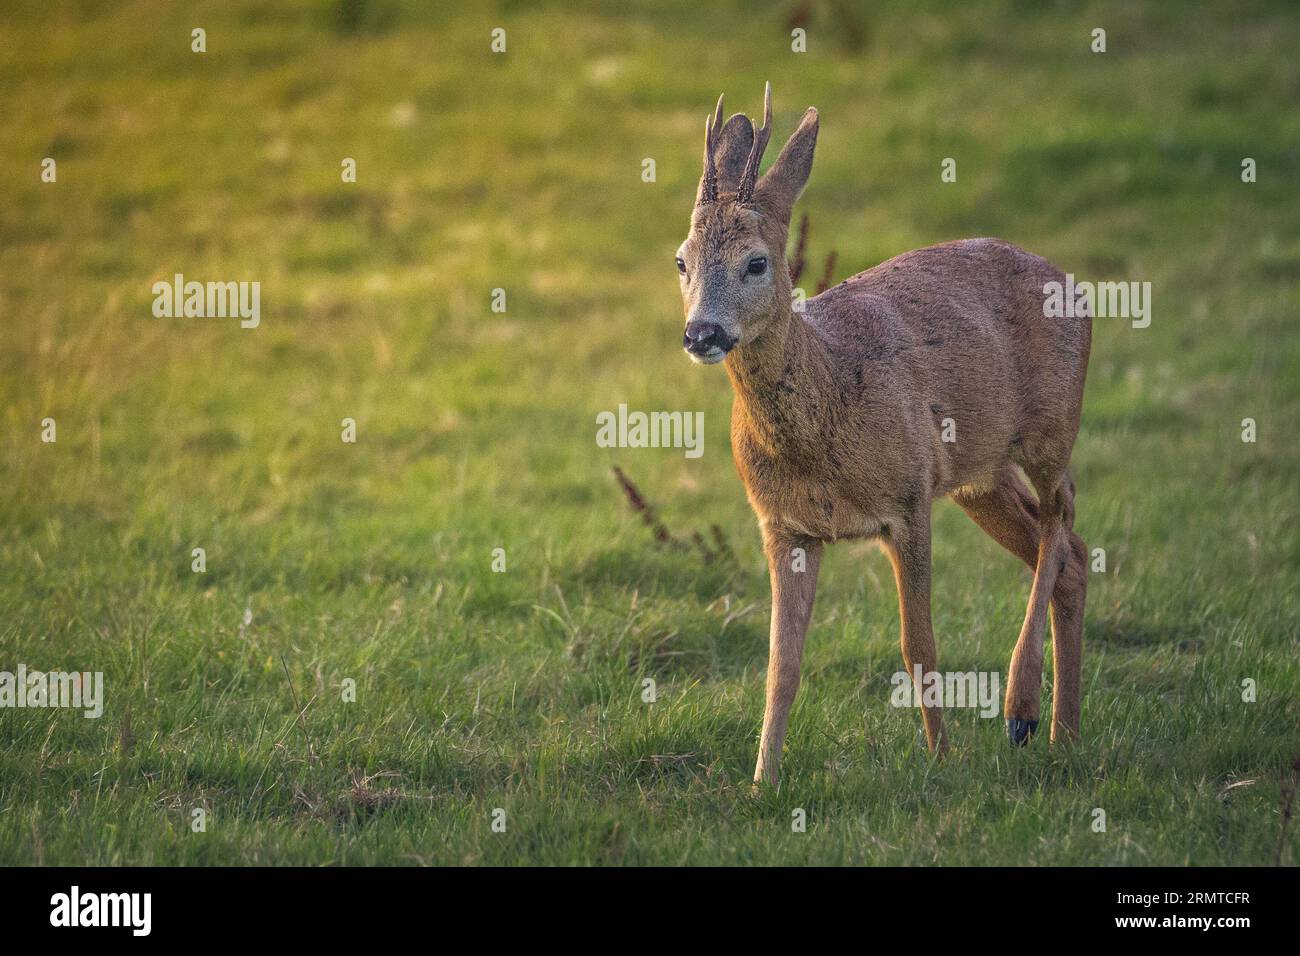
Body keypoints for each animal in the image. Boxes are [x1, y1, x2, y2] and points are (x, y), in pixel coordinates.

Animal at [674, 84, 1091, 786]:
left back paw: (1022, 710)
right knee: (1070, 556)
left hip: (1051, 427)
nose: (701, 332)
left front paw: (942, 757)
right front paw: (762, 783)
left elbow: (917, 642)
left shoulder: (907, 498)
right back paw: (1063, 734)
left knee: (1062, 516)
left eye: (757, 262)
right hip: (979, 476)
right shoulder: (783, 525)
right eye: (680, 260)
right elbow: (781, 665)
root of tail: (1074, 283)